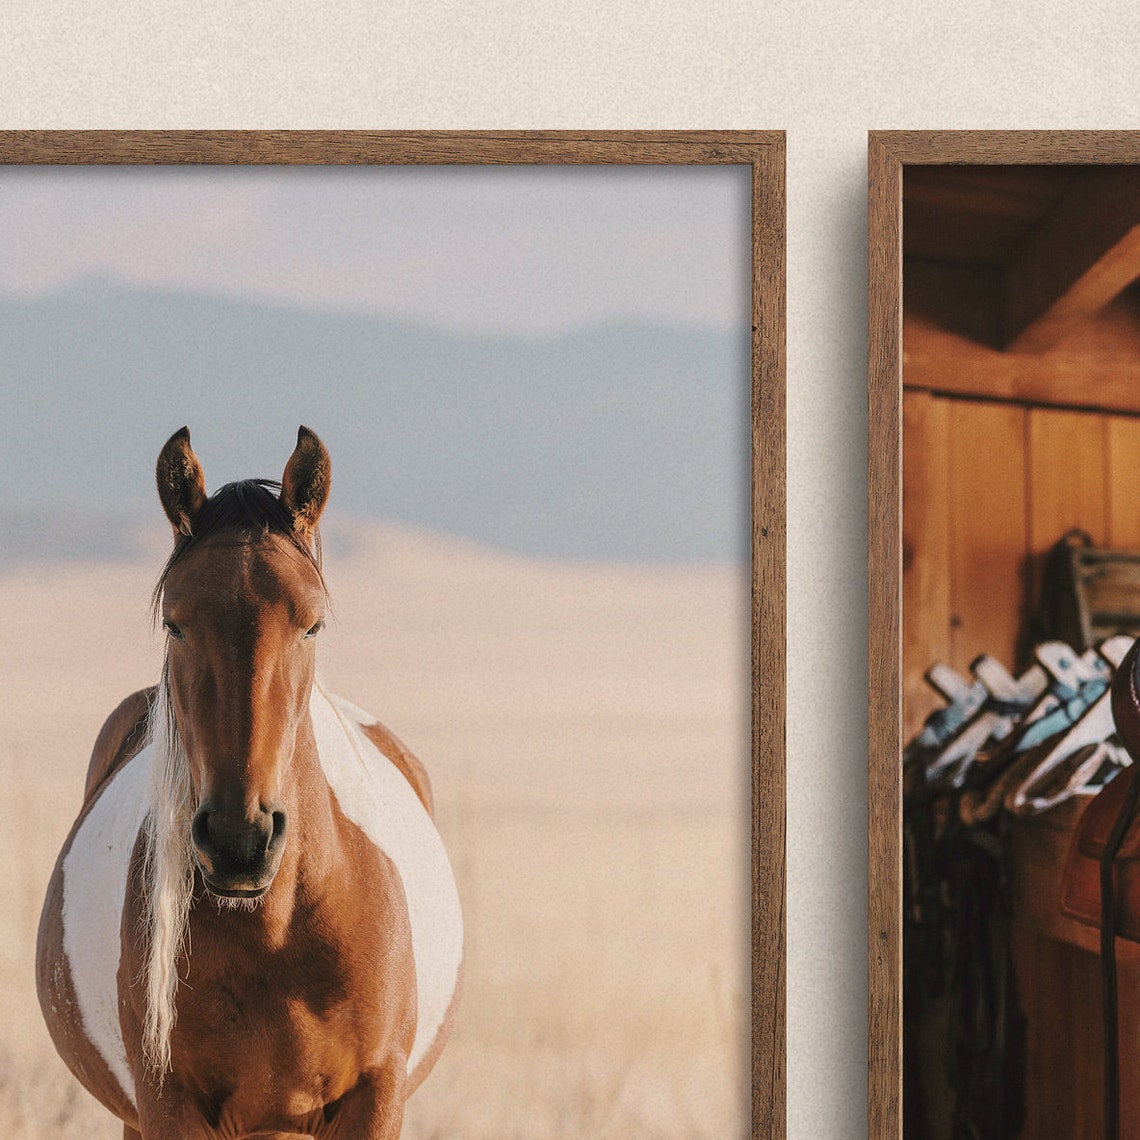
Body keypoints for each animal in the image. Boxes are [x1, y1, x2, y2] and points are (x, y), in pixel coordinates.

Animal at [36, 426, 463, 1139]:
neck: (276, 933)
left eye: (312, 623)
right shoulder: (167, 1105)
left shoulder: (377, 1098)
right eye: (174, 622)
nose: (241, 842)